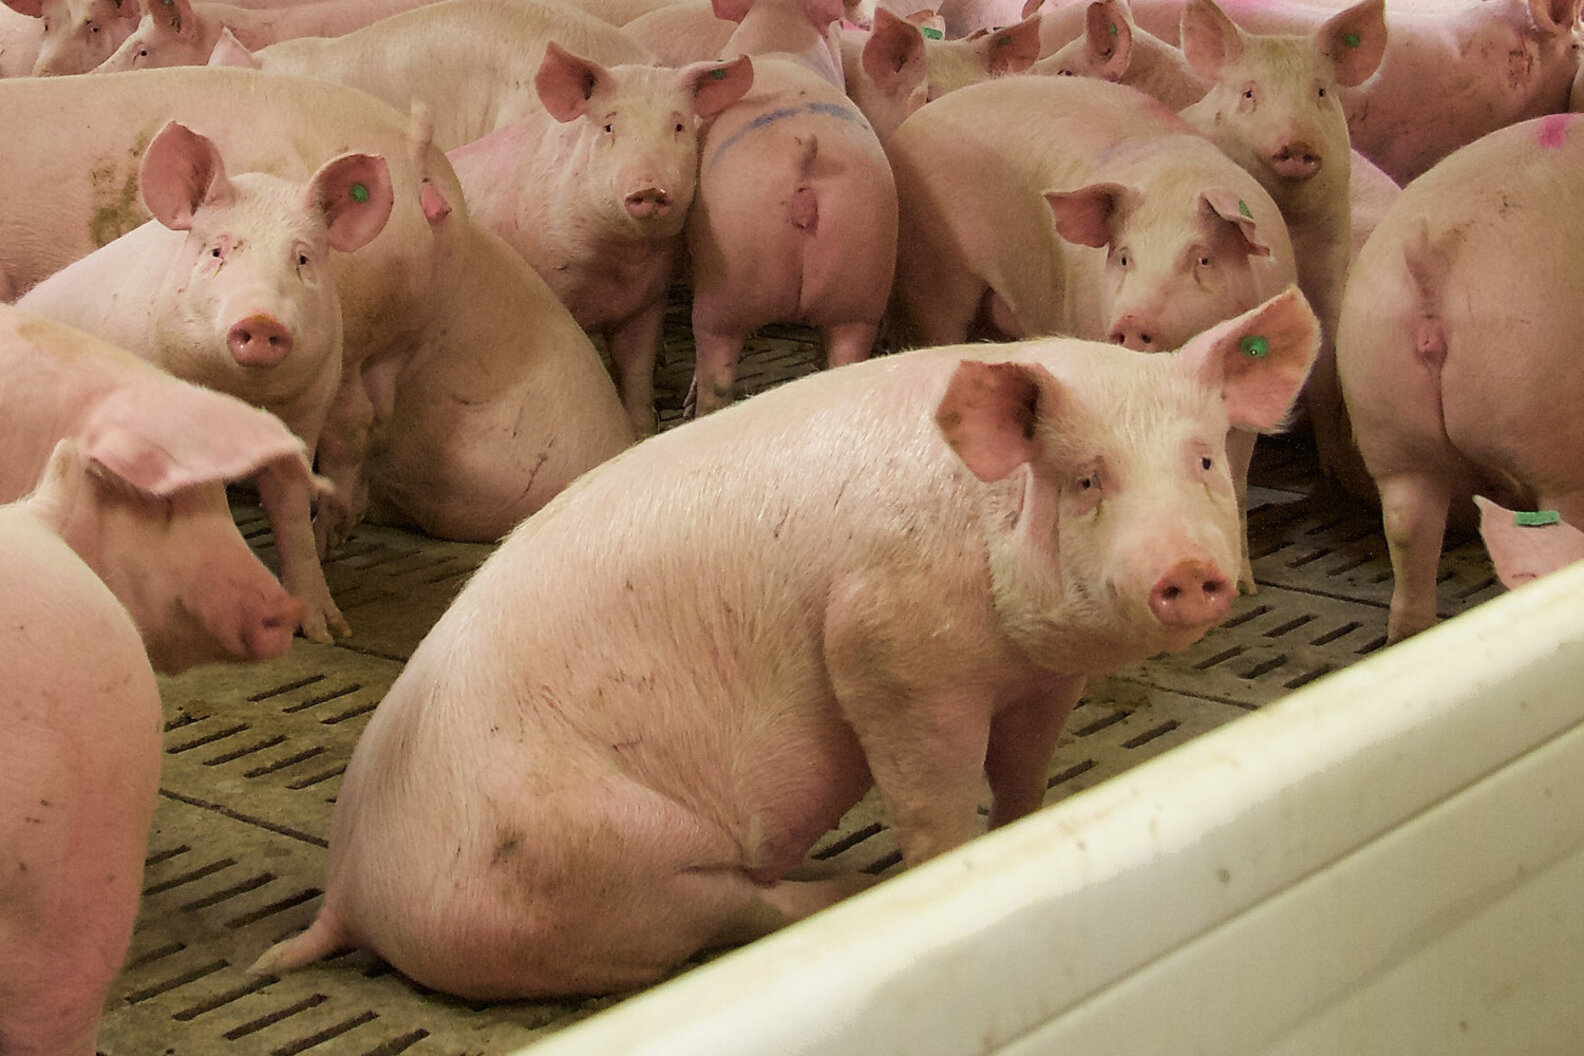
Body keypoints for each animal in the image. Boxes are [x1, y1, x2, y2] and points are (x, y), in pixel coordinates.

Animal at [17, 120, 396, 642]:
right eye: (217, 250)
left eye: (301, 259)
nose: (260, 320)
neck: (243, 398)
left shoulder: (306, 411)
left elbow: (292, 512)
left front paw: (330, 632)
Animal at [252, 287, 1319, 999]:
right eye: (1087, 478)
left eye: (1205, 459)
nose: (1189, 569)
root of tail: (348, 886)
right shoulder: (886, 650)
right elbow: (933, 798)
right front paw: (950, 870)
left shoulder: (1038, 679)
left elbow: (1023, 776)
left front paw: (1025, 833)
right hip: (600, 872)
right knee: (738, 911)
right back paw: (849, 887)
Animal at [449, 47, 753, 435]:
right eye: (609, 127)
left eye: (678, 126)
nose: (649, 187)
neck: (615, 265)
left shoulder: (646, 303)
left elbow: (636, 380)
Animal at [1176, 0, 1385, 490]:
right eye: (1250, 93)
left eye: (1321, 92)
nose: (1297, 142)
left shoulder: (1331, 253)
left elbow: (1325, 368)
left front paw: (1340, 474)